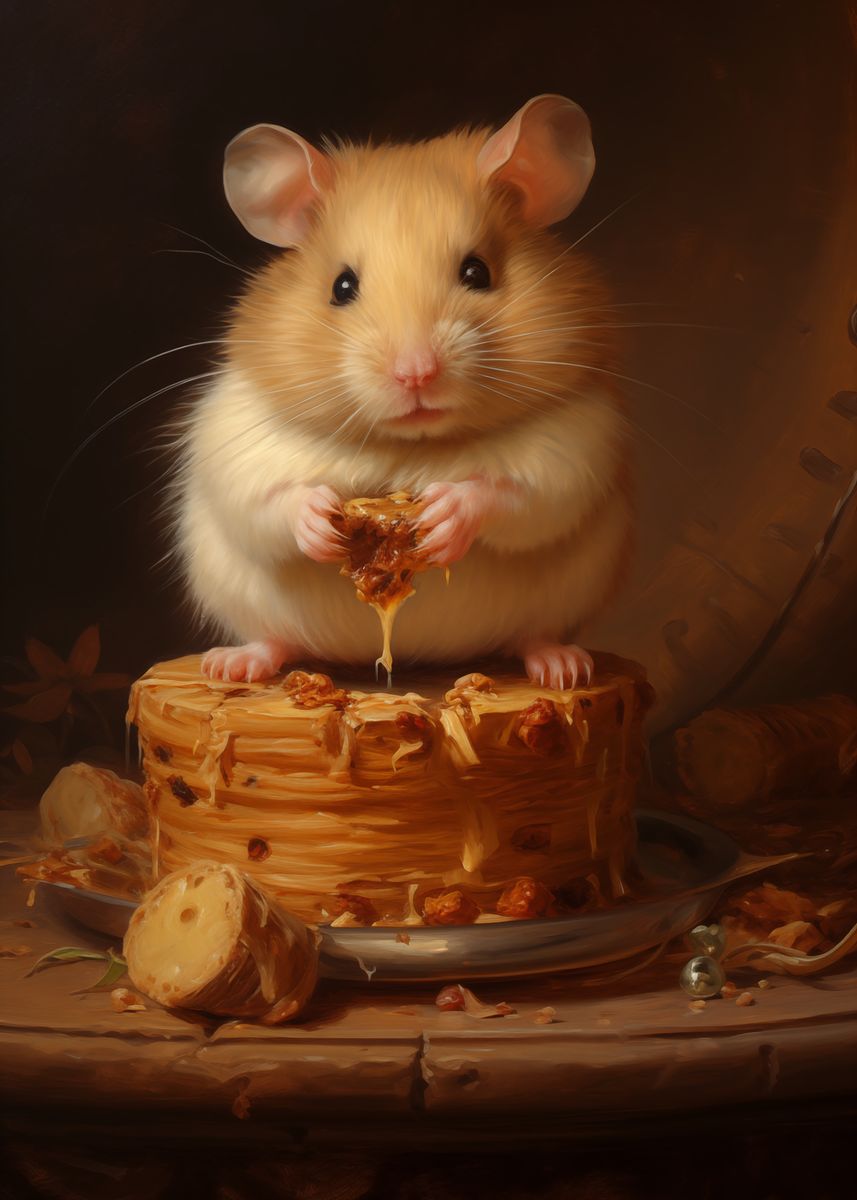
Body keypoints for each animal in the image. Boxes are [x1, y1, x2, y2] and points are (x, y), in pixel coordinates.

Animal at [175, 94, 632, 689]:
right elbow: (266, 499)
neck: (409, 444)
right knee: (276, 638)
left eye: (477, 272)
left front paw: (443, 516)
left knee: (532, 635)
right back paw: (233, 664)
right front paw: (319, 519)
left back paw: (562, 669)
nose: (415, 374)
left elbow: (519, 494)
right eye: (341, 286)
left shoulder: (575, 443)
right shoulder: (237, 441)